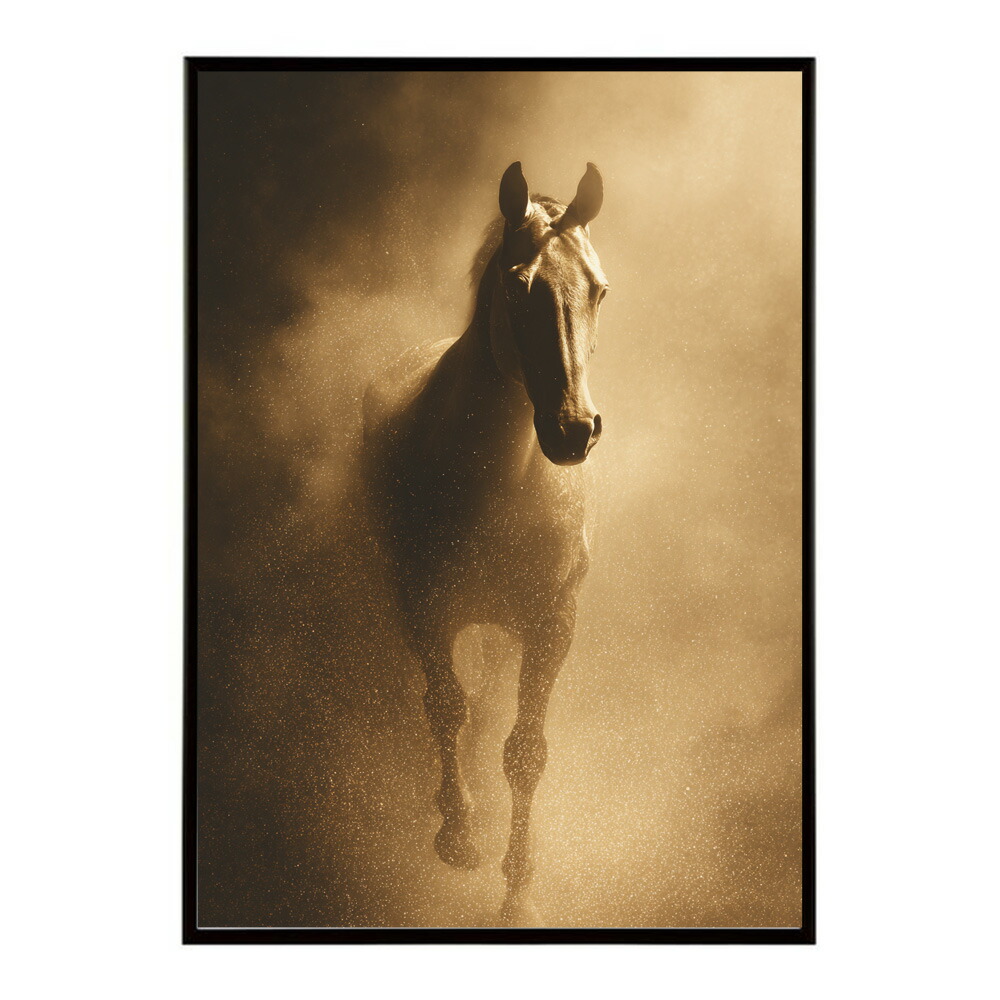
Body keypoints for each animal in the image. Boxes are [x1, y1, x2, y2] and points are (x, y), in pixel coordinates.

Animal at [362, 161, 608, 926]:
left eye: (599, 289)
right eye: (518, 286)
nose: (572, 430)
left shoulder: (552, 623)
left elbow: (524, 751)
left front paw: (519, 893)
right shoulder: (424, 606)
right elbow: (447, 709)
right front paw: (459, 836)